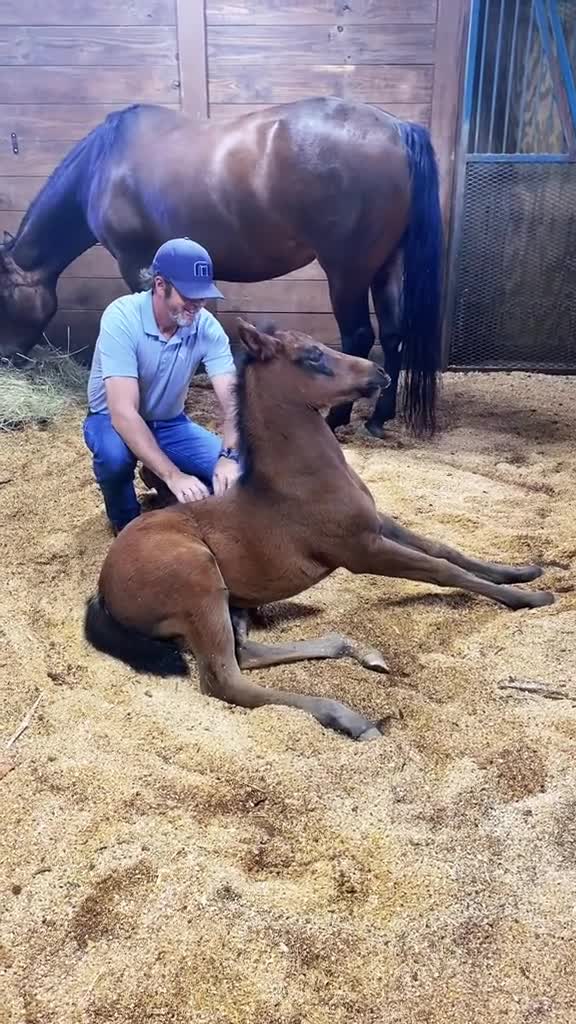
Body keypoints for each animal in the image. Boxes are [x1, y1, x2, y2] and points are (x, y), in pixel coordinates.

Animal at [0, 97, 443, 436]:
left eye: (3, 294)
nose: (6, 360)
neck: (102, 164)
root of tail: (397, 129)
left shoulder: (136, 264)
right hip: (386, 265)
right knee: (393, 334)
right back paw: (379, 418)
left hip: (347, 270)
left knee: (359, 335)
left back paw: (337, 419)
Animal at [83, 319, 553, 741]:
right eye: (311, 356)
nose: (379, 371)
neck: (305, 478)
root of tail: (103, 588)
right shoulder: (362, 550)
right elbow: (442, 570)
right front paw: (529, 598)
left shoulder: (378, 523)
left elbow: (445, 549)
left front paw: (522, 572)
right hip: (200, 580)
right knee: (224, 680)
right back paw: (349, 718)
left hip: (230, 602)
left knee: (246, 654)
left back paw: (354, 650)